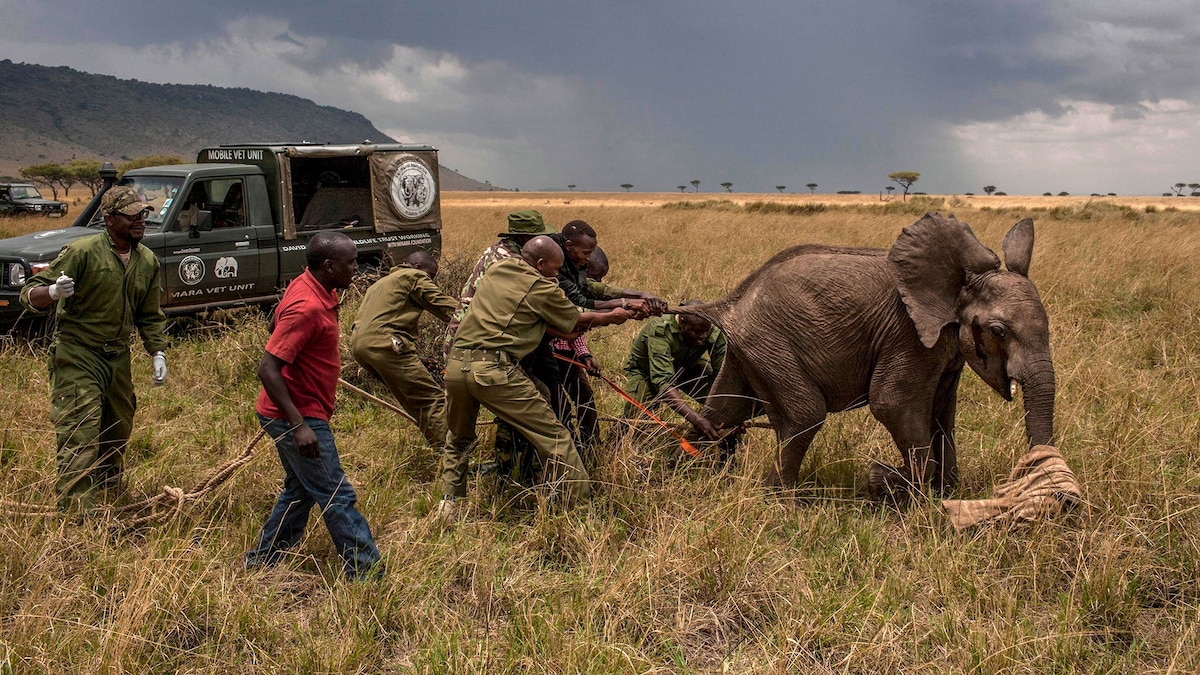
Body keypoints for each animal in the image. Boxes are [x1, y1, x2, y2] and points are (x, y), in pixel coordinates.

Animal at [680, 212, 1054, 498]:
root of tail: (733, 302)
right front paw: (897, 487)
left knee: (724, 410)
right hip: (770, 345)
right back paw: (783, 502)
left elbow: (943, 413)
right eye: (998, 331)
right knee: (805, 414)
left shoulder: (946, 350)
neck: (958, 283)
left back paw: (683, 467)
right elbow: (893, 403)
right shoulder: (907, 335)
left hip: (751, 350)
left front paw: (944, 494)